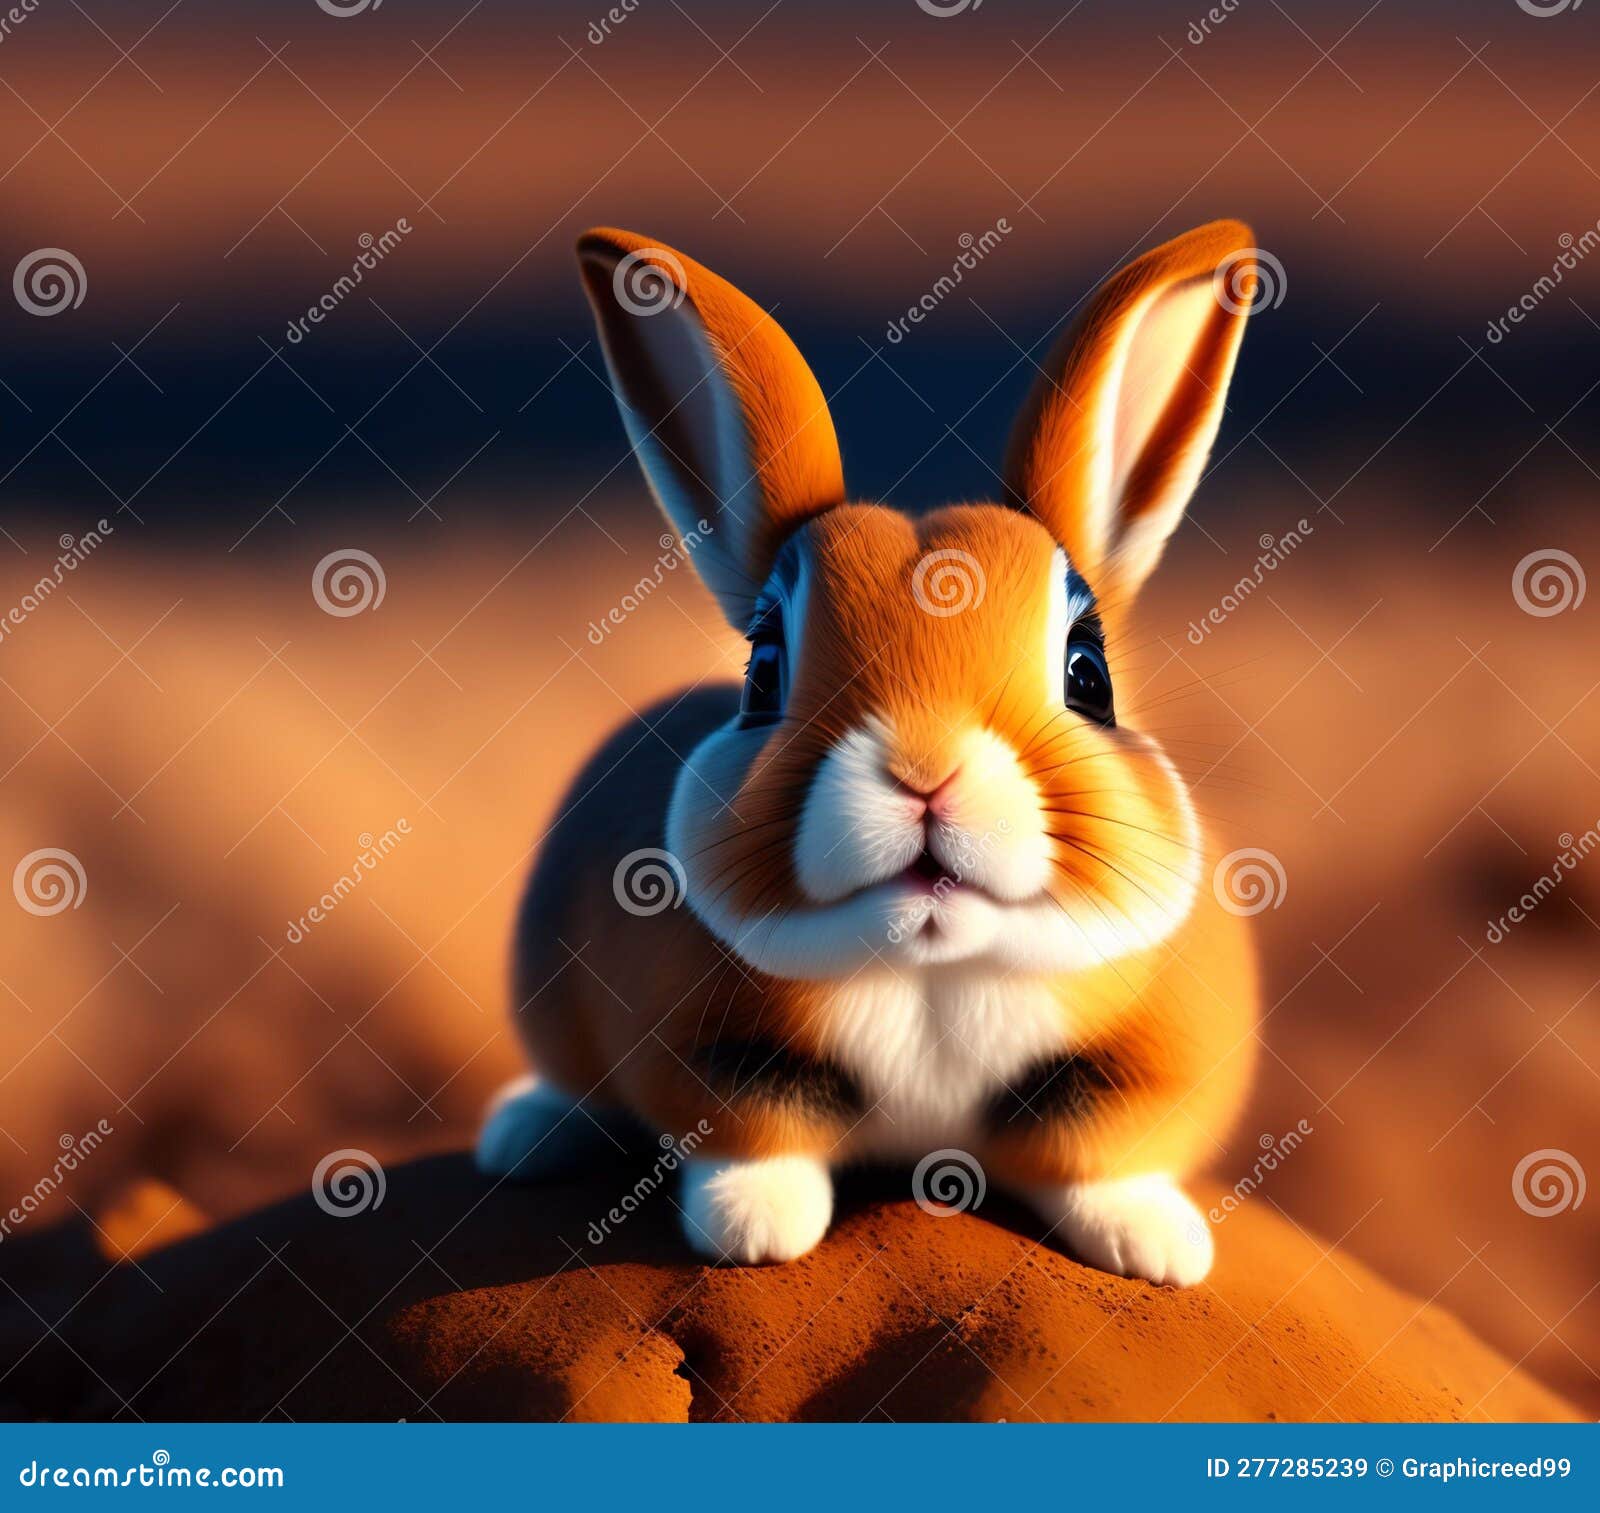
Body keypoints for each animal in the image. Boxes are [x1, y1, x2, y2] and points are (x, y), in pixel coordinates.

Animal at [477, 220, 1261, 1286]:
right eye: (764, 668)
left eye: (1088, 673)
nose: (925, 775)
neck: (933, 969)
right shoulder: (706, 1058)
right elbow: (751, 1133)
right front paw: (755, 1227)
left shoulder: (1150, 1069)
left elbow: (1095, 1147)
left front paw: (1158, 1246)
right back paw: (522, 1134)